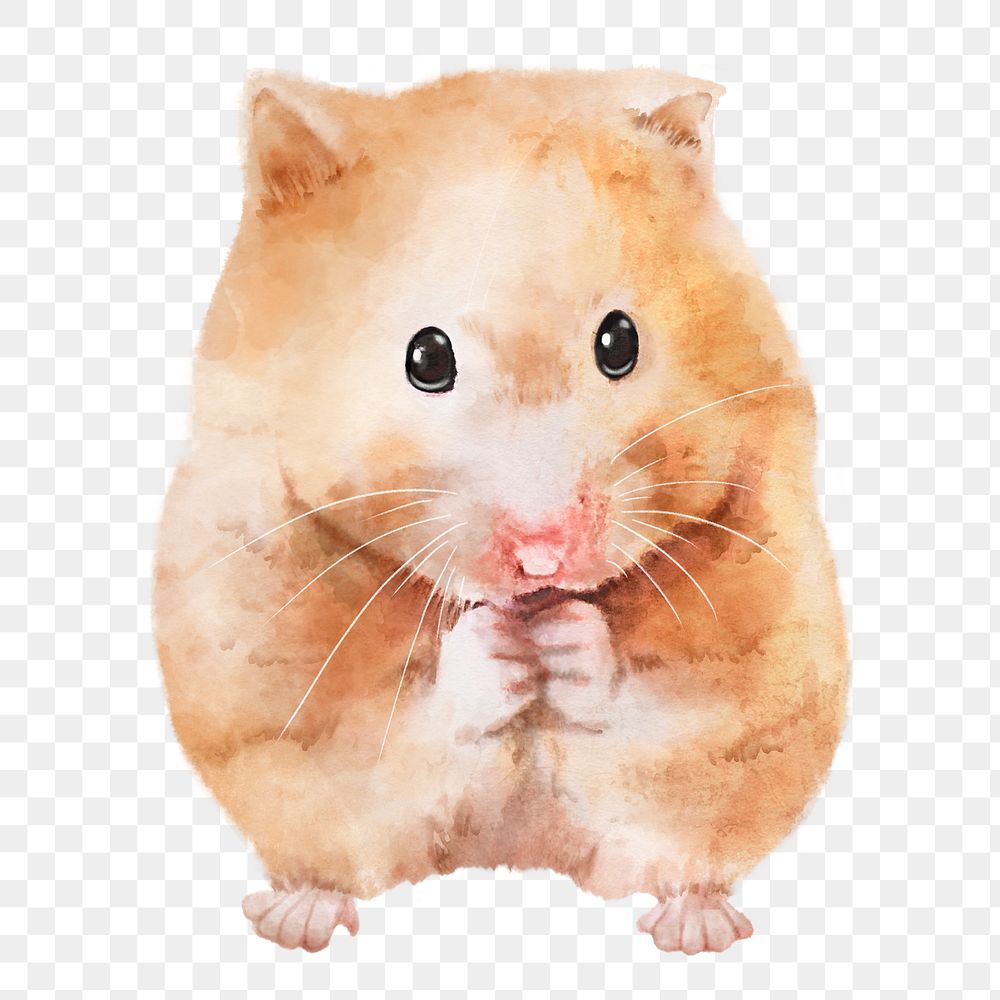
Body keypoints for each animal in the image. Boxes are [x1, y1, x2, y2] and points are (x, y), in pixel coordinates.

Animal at [153, 68, 849, 955]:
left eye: (620, 341)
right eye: (426, 357)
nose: (545, 555)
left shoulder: (764, 636)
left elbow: (672, 717)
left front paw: (566, 643)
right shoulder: (266, 662)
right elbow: (378, 735)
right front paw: (498, 652)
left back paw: (697, 927)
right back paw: (297, 920)